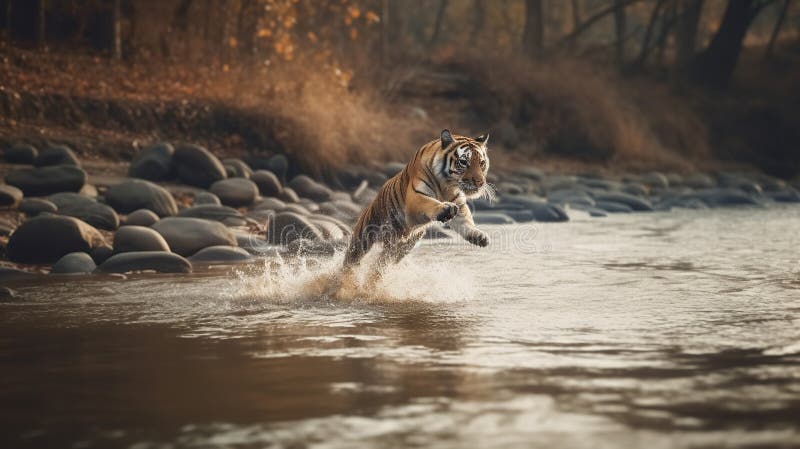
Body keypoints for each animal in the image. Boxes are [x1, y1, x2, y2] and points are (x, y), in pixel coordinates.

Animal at [343, 129, 492, 274]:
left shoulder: (459, 203)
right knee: (351, 261)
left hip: (400, 248)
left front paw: (479, 236)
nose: (480, 182)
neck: (446, 185)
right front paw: (445, 209)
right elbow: (429, 202)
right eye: (464, 162)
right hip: (365, 235)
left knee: (380, 265)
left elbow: (466, 221)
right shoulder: (415, 198)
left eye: (482, 163)